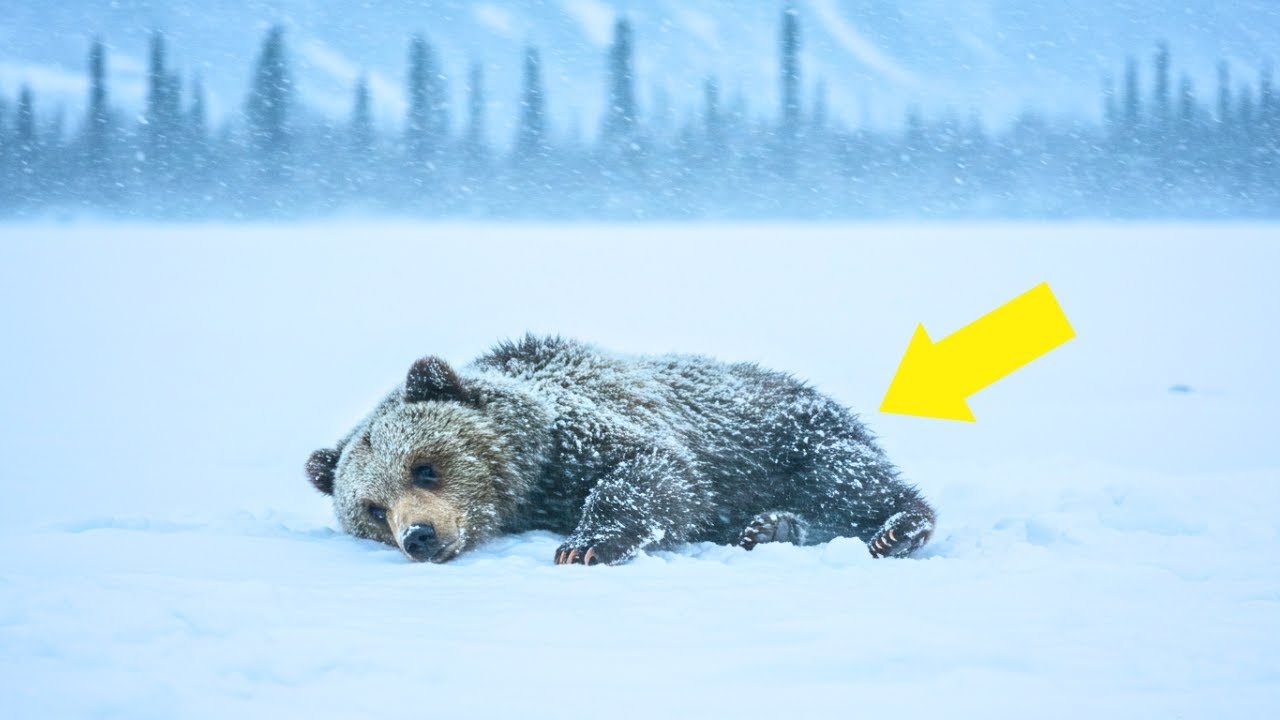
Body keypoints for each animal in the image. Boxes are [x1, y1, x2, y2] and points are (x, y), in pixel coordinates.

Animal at [306, 335, 935, 565]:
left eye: (424, 467)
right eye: (372, 508)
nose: (418, 536)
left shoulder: (586, 432)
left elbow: (652, 473)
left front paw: (584, 545)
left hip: (788, 432)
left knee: (846, 480)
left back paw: (897, 528)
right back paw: (770, 528)